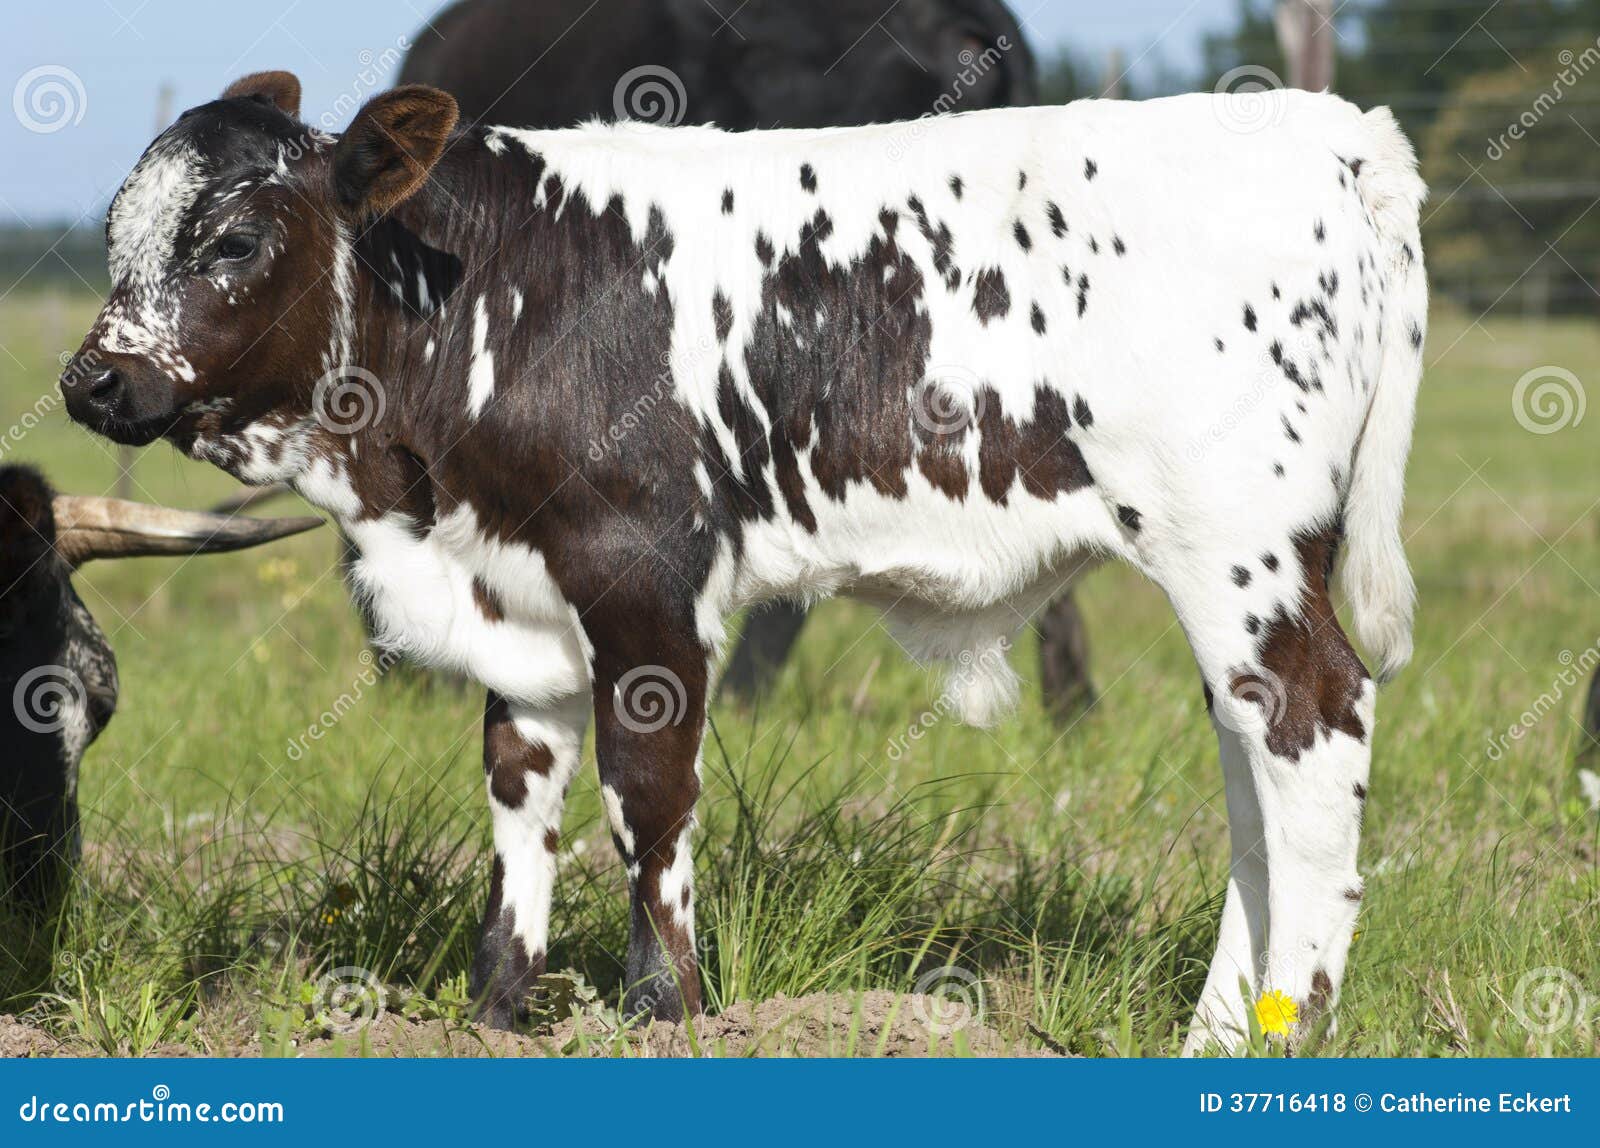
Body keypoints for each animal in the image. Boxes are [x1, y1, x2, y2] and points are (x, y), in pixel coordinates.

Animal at [61, 71, 1427, 1054]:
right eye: (118, 230)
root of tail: (1330, 126)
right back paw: (1219, 1030)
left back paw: (1289, 1028)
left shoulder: (642, 575)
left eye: (231, 240)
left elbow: (648, 794)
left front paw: (666, 1009)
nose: (90, 382)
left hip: (1235, 548)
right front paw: (495, 1013)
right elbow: (520, 788)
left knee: (1317, 723)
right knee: (1255, 768)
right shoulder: (516, 588)